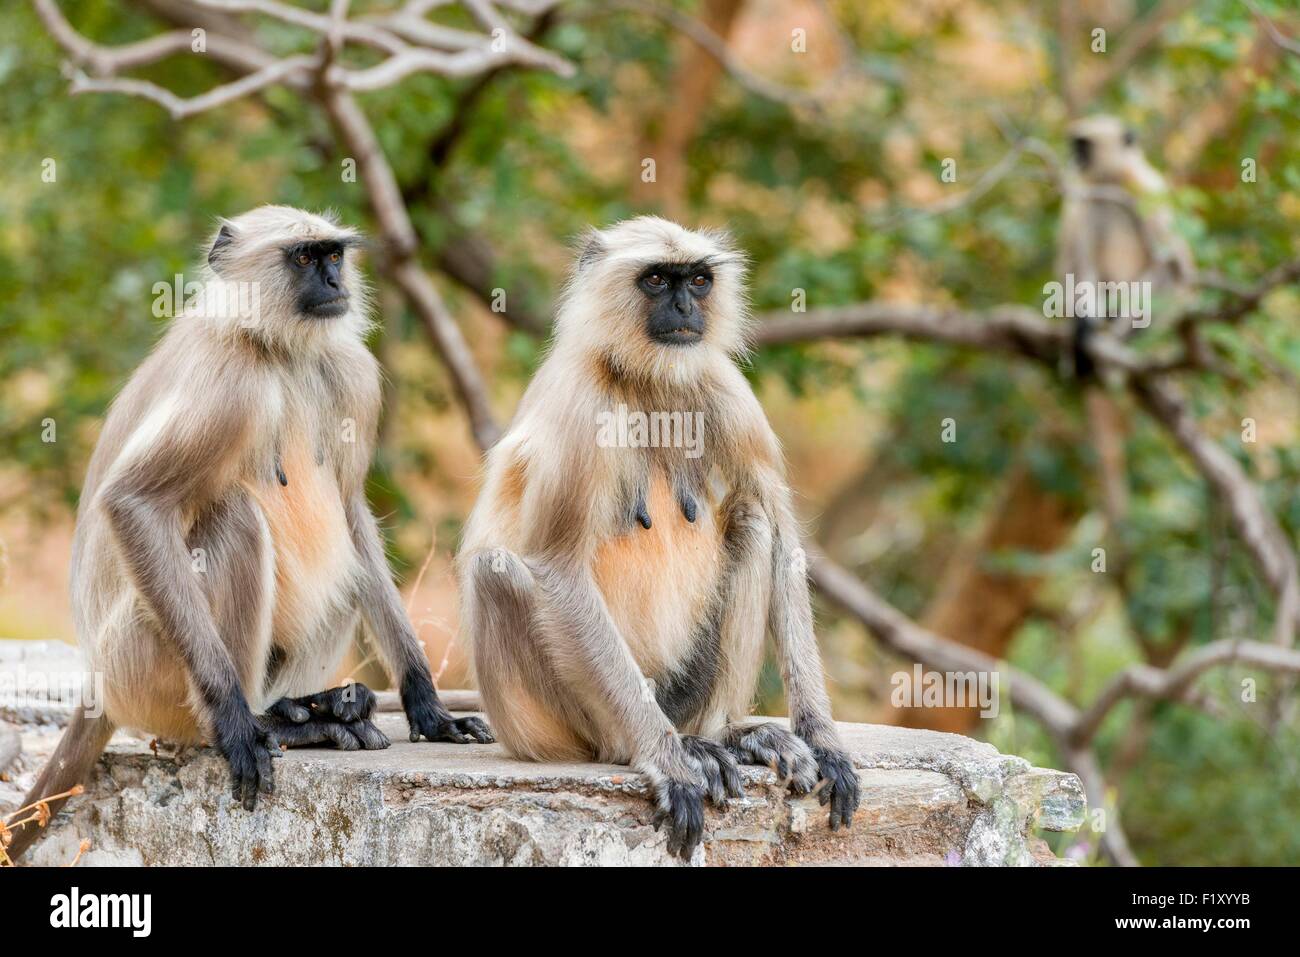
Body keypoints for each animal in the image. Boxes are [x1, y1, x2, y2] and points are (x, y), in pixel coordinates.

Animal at [5, 206, 491, 862]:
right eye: (304, 258)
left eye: (333, 255)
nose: (334, 282)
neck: (276, 349)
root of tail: (99, 682)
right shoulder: (227, 381)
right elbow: (132, 502)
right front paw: (235, 726)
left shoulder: (352, 373)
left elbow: (350, 509)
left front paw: (429, 707)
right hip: (142, 665)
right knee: (233, 519)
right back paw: (263, 722)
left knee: (341, 563)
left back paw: (309, 708)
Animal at [457, 217, 859, 861]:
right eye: (655, 280)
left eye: (697, 280)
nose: (684, 307)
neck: (647, 379)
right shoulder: (581, 405)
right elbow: (557, 570)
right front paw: (667, 765)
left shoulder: (728, 391)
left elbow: (784, 542)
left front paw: (824, 742)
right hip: (546, 723)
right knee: (496, 567)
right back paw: (665, 748)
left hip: (684, 693)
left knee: (753, 520)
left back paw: (726, 735)